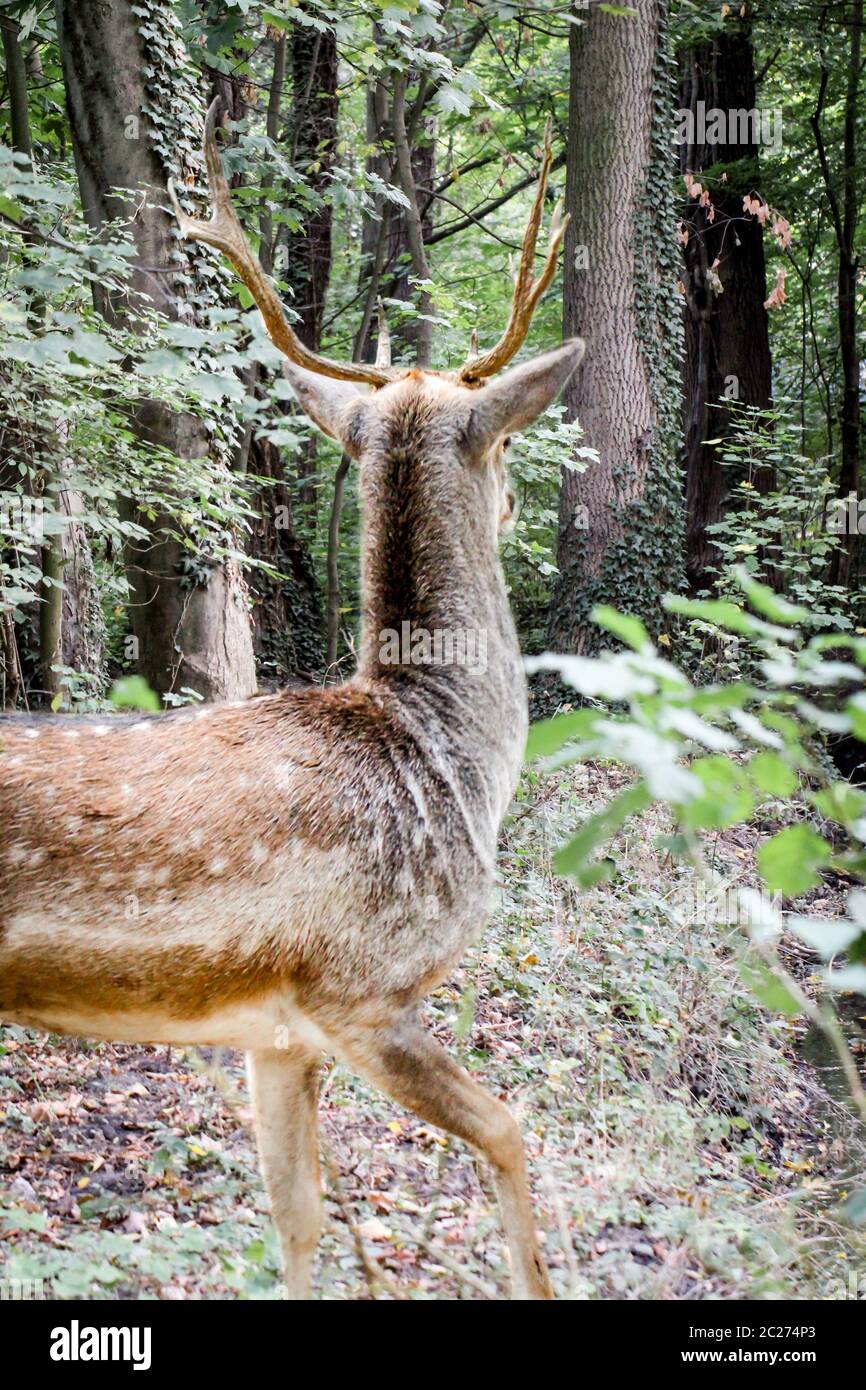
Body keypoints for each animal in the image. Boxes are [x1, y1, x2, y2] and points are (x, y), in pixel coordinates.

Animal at [0, 99, 584, 1300]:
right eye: (504, 440)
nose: (513, 505)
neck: (448, 754)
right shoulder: (362, 986)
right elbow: (511, 1133)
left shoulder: (275, 1035)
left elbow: (297, 1216)